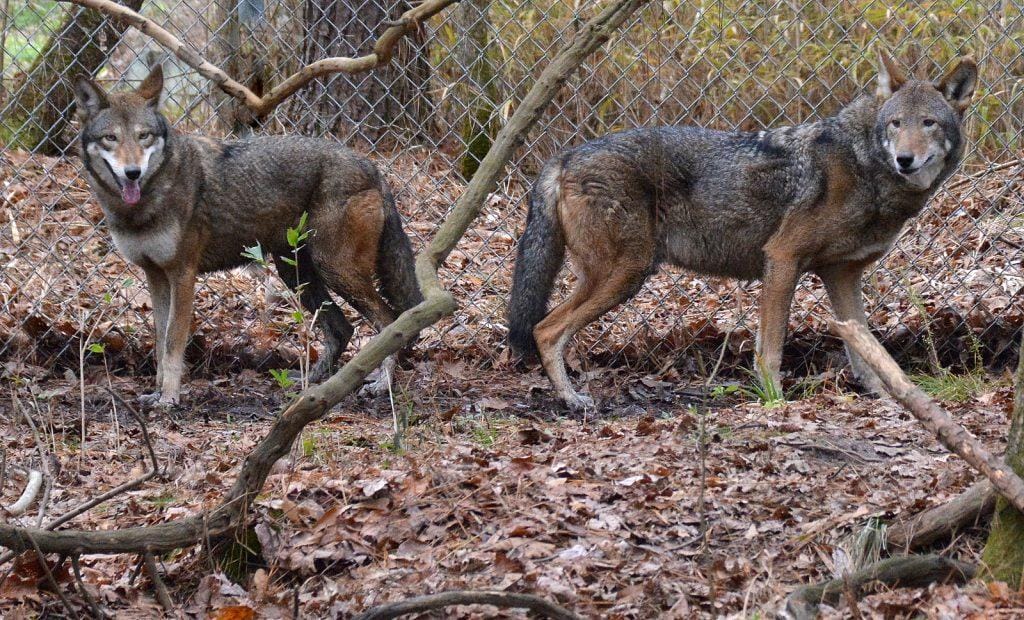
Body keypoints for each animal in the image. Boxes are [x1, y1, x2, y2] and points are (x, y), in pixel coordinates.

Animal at [73, 65, 423, 405]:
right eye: (110, 138)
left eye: (143, 136)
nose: (133, 173)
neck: (145, 203)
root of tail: (371, 166)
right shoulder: (156, 276)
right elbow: (160, 342)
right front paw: (157, 392)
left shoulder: (183, 275)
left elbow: (173, 343)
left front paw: (169, 398)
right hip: (296, 274)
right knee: (342, 328)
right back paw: (314, 386)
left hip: (335, 270)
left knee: (389, 319)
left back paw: (380, 385)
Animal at [508, 52, 977, 410]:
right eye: (896, 123)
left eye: (929, 123)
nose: (904, 159)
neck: (865, 166)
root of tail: (565, 156)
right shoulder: (783, 258)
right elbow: (770, 351)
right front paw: (774, 402)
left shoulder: (842, 275)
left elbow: (867, 353)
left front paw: (890, 399)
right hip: (625, 275)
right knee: (545, 329)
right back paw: (571, 399)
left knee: (546, 327)